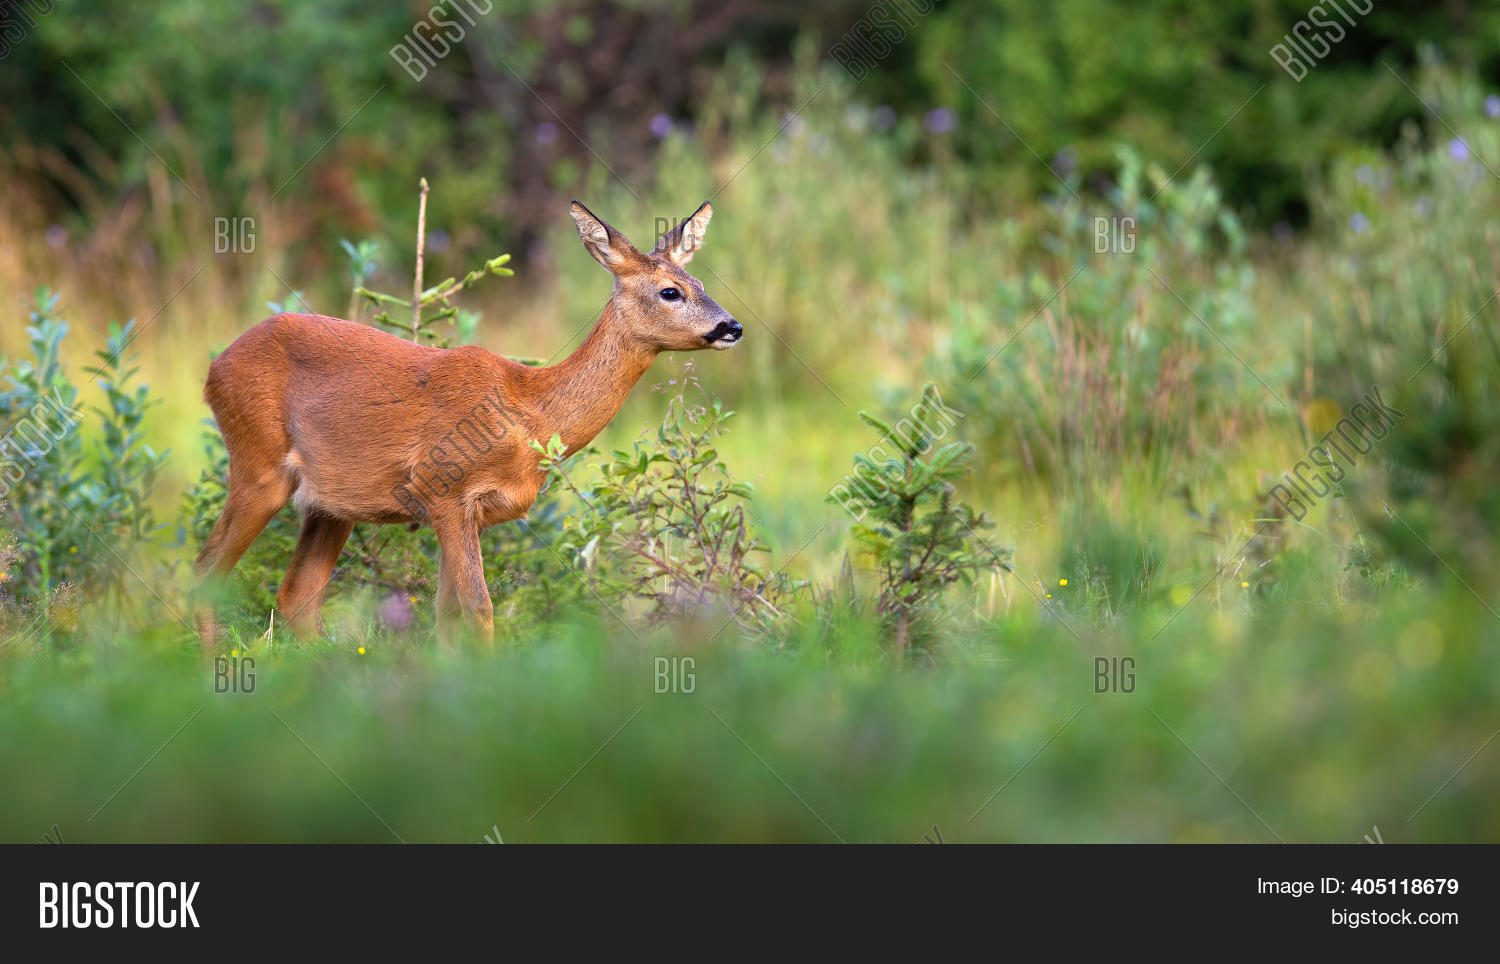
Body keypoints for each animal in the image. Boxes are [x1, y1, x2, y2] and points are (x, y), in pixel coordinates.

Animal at [193, 200, 740, 651]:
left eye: (702, 285)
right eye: (670, 291)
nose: (731, 327)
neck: (528, 413)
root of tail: (214, 368)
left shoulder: (463, 511)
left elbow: (447, 613)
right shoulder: (443, 488)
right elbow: (479, 608)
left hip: (330, 504)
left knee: (296, 596)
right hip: (259, 464)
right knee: (206, 570)